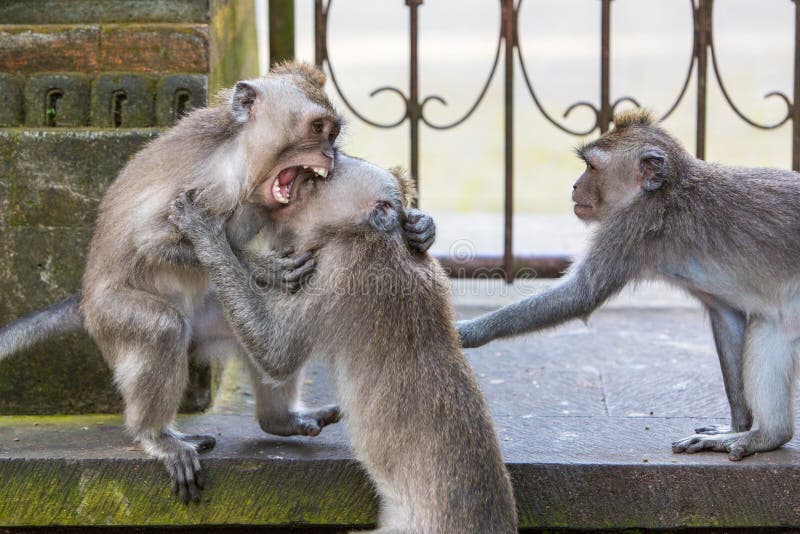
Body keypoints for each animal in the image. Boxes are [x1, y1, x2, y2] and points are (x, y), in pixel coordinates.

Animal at [0, 62, 437, 502]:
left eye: (332, 133)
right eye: (318, 129)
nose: (330, 155)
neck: (241, 161)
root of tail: (86, 303)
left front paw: (420, 228)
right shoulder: (208, 185)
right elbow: (153, 241)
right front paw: (265, 266)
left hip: (217, 317)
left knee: (260, 332)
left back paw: (279, 419)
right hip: (112, 316)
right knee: (162, 327)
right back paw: (157, 436)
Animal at [167, 153, 517, 533]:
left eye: (323, 179)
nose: (328, 159)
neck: (375, 237)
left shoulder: (338, 268)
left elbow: (277, 354)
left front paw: (205, 234)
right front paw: (421, 227)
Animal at [457, 108, 800, 462]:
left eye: (592, 167)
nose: (575, 185)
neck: (663, 191)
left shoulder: (627, 228)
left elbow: (580, 296)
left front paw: (469, 331)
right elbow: (728, 318)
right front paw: (736, 425)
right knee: (771, 329)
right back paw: (769, 436)